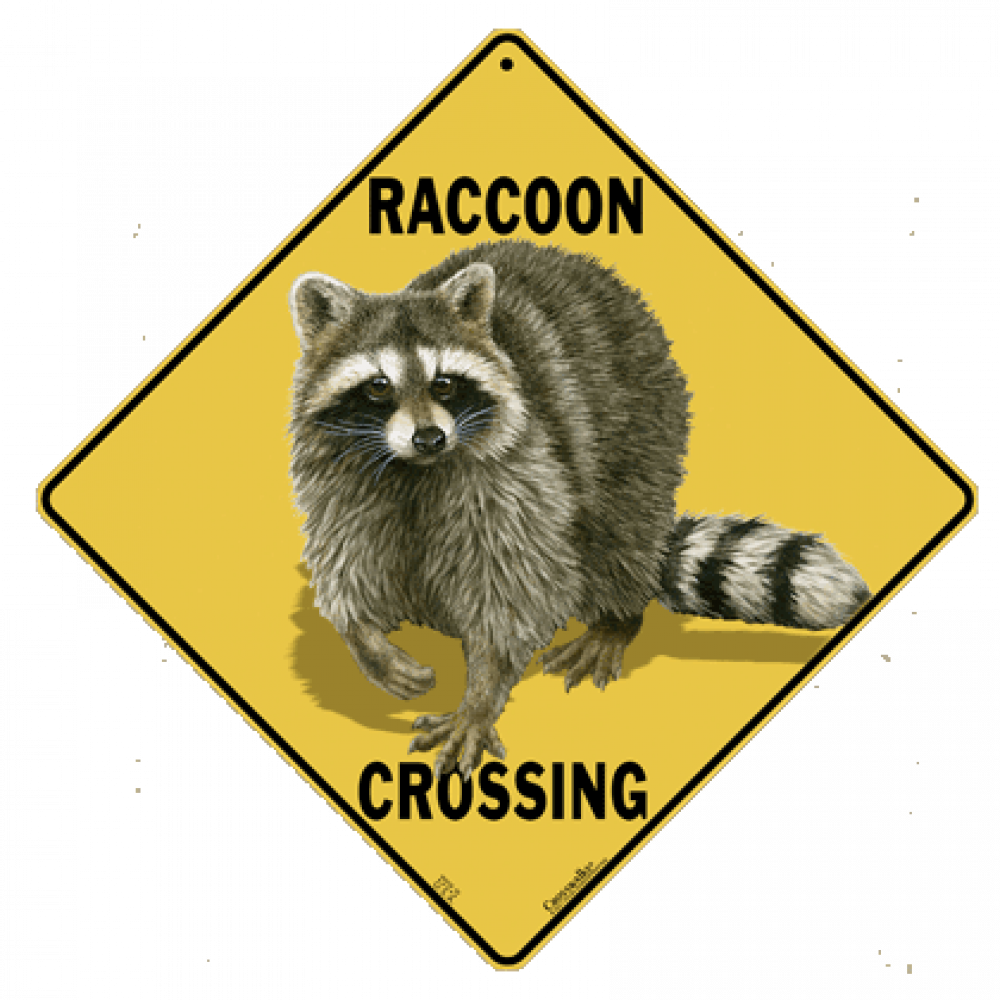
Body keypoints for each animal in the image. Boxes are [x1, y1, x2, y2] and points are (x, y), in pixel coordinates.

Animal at [288, 241, 869, 781]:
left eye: (445, 383)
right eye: (378, 386)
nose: (430, 437)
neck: (412, 470)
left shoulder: (517, 473)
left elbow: (514, 590)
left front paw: (481, 696)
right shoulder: (345, 485)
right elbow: (349, 564)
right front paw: (365, 640)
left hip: (641, 419)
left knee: (619, 524)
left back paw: (617, 617)